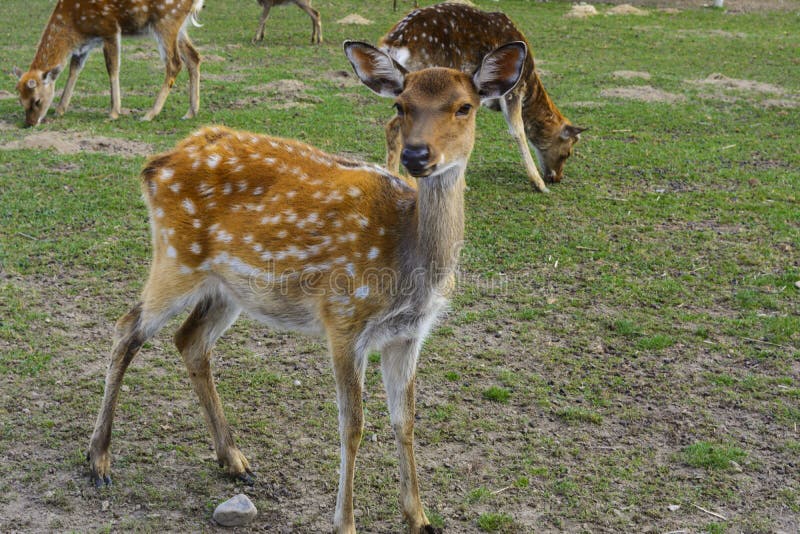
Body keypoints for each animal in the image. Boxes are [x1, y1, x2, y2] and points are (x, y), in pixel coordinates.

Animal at [12, 0, 204, 127]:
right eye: (20, 100)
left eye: (37, 100)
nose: (29, 123)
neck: (75, 24)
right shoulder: (85, 44)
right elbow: (74, 69)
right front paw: (60, 109)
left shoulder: (109, 28)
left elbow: (112, 67)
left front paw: (114, 112)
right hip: (179, 26)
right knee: (194, 57)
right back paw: (191, 112)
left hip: (166, 20)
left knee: (174, 63)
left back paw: (149, 114)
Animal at [86, 39, 527, 533]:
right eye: (401, 104)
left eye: (464, 106)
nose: (416, 155)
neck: (410, 264)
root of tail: (152, 166)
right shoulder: (343, 319)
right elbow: (352, 426)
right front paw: (345, 522)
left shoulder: (409, 334)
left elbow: (406, 420)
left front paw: (419, 517)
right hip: (175, 258)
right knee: (127, 328)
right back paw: (99, 459)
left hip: (229, 288)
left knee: (189, 340)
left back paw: (233, 458)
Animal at [379, 3, 586, 192]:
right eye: (567, 152)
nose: (557, 178)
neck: (529, 80)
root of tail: (393, 41)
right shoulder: (514, 90)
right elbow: (518, 130)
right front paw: (538, 184)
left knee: (392, 125)